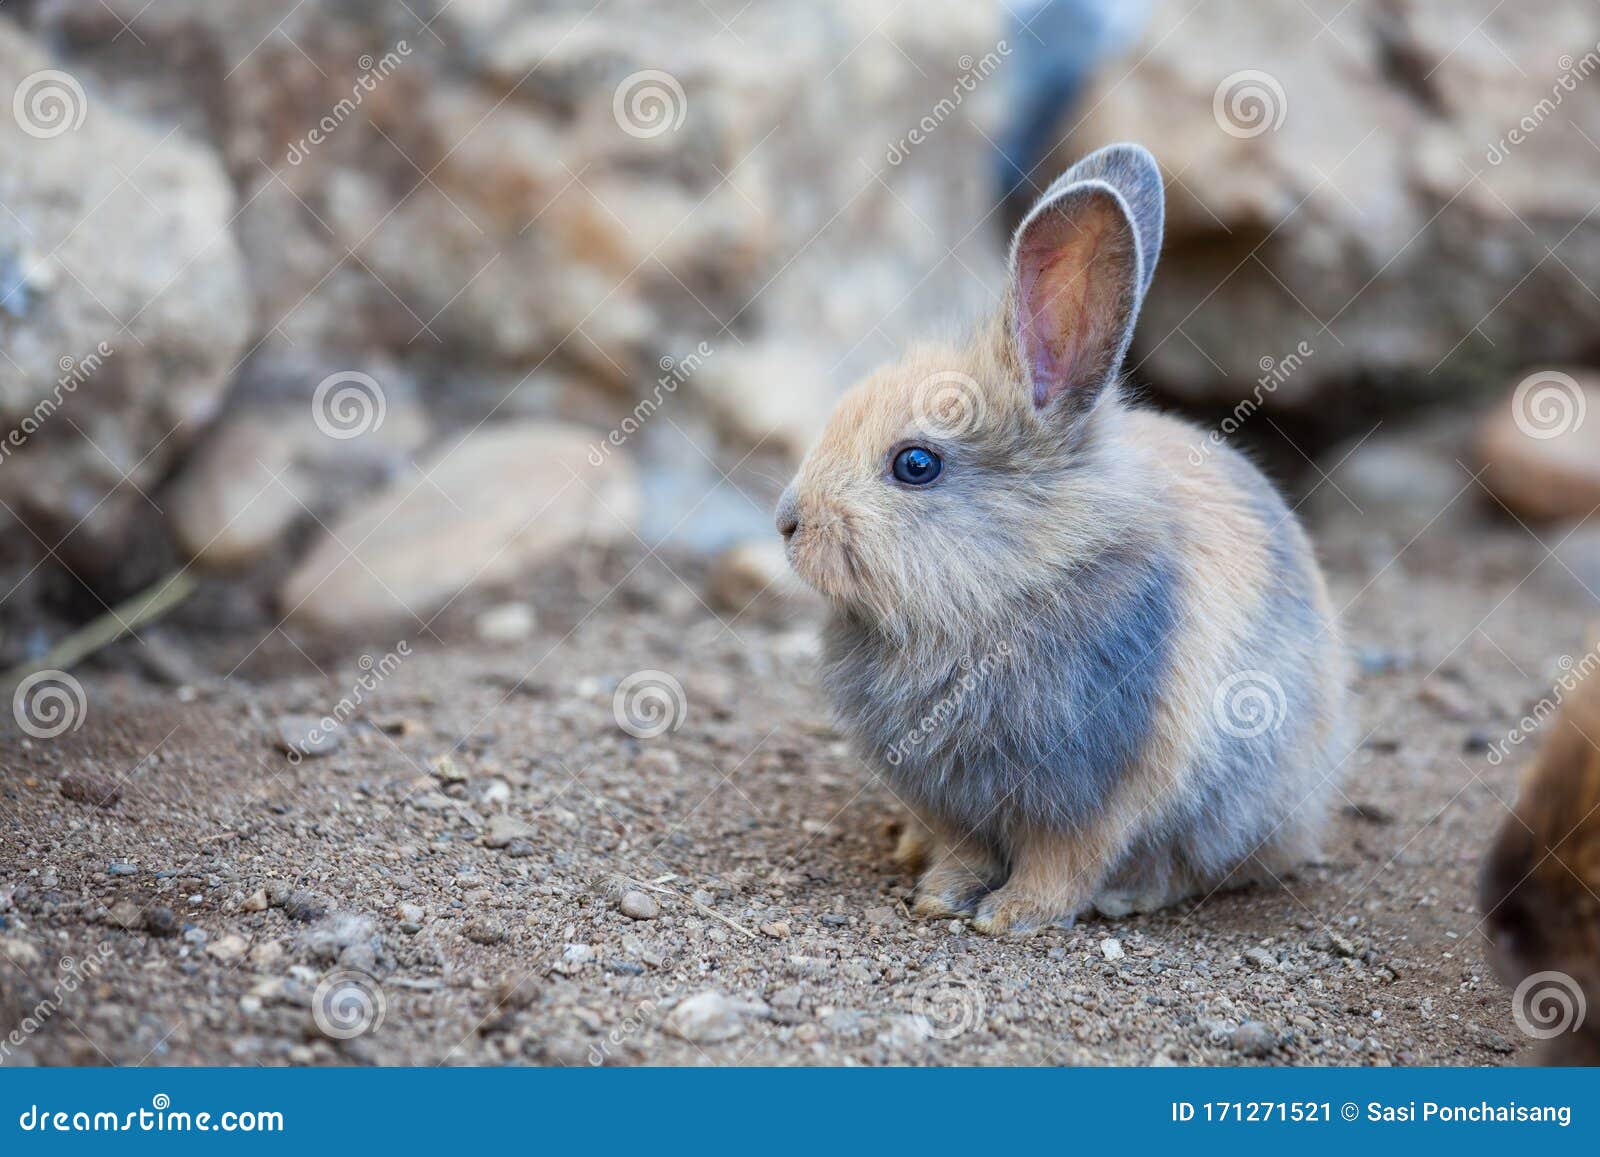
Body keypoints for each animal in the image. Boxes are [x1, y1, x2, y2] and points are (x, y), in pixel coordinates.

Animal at [775, 143, 1350, 934]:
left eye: (916, 464)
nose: (788, 521)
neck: (1010, 587)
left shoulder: (1096, 793)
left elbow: (1064, 863)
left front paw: (1012, 916)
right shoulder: (945, 794)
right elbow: (962, 850)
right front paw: (939, 896)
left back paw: (1133, 893)